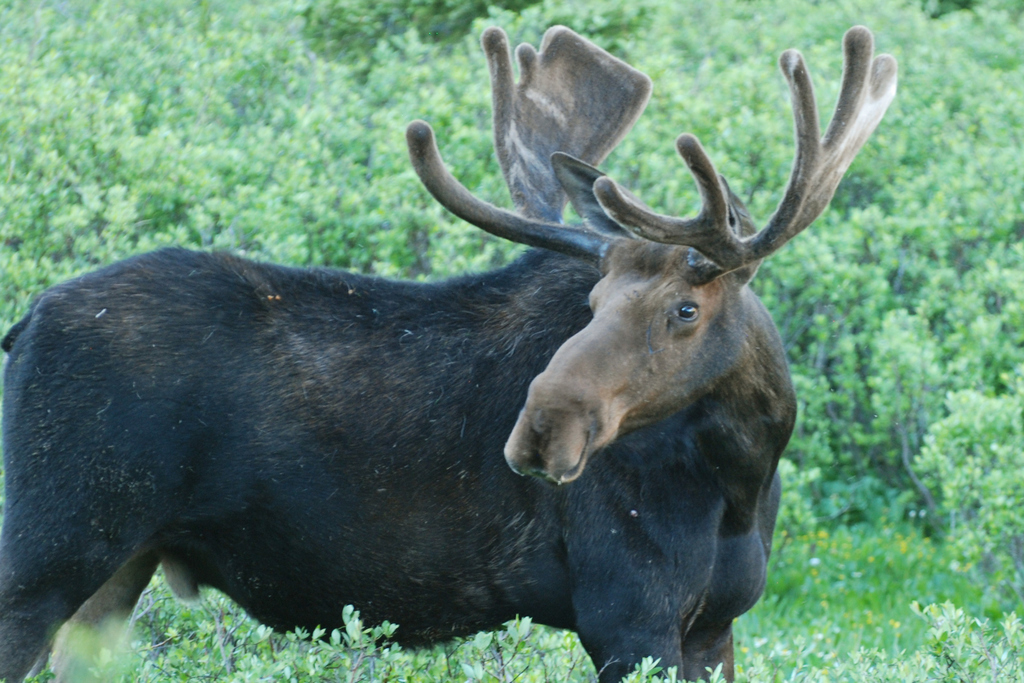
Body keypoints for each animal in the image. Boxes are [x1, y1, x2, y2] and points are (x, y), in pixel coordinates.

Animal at [0, 24, 895, 682]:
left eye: (685, 308)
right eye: (593, 301)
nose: (540, 430)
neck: (744, 475)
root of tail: (24, 321)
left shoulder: (714, 624)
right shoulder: (627, 613)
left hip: (119, 566)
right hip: (46, 551)